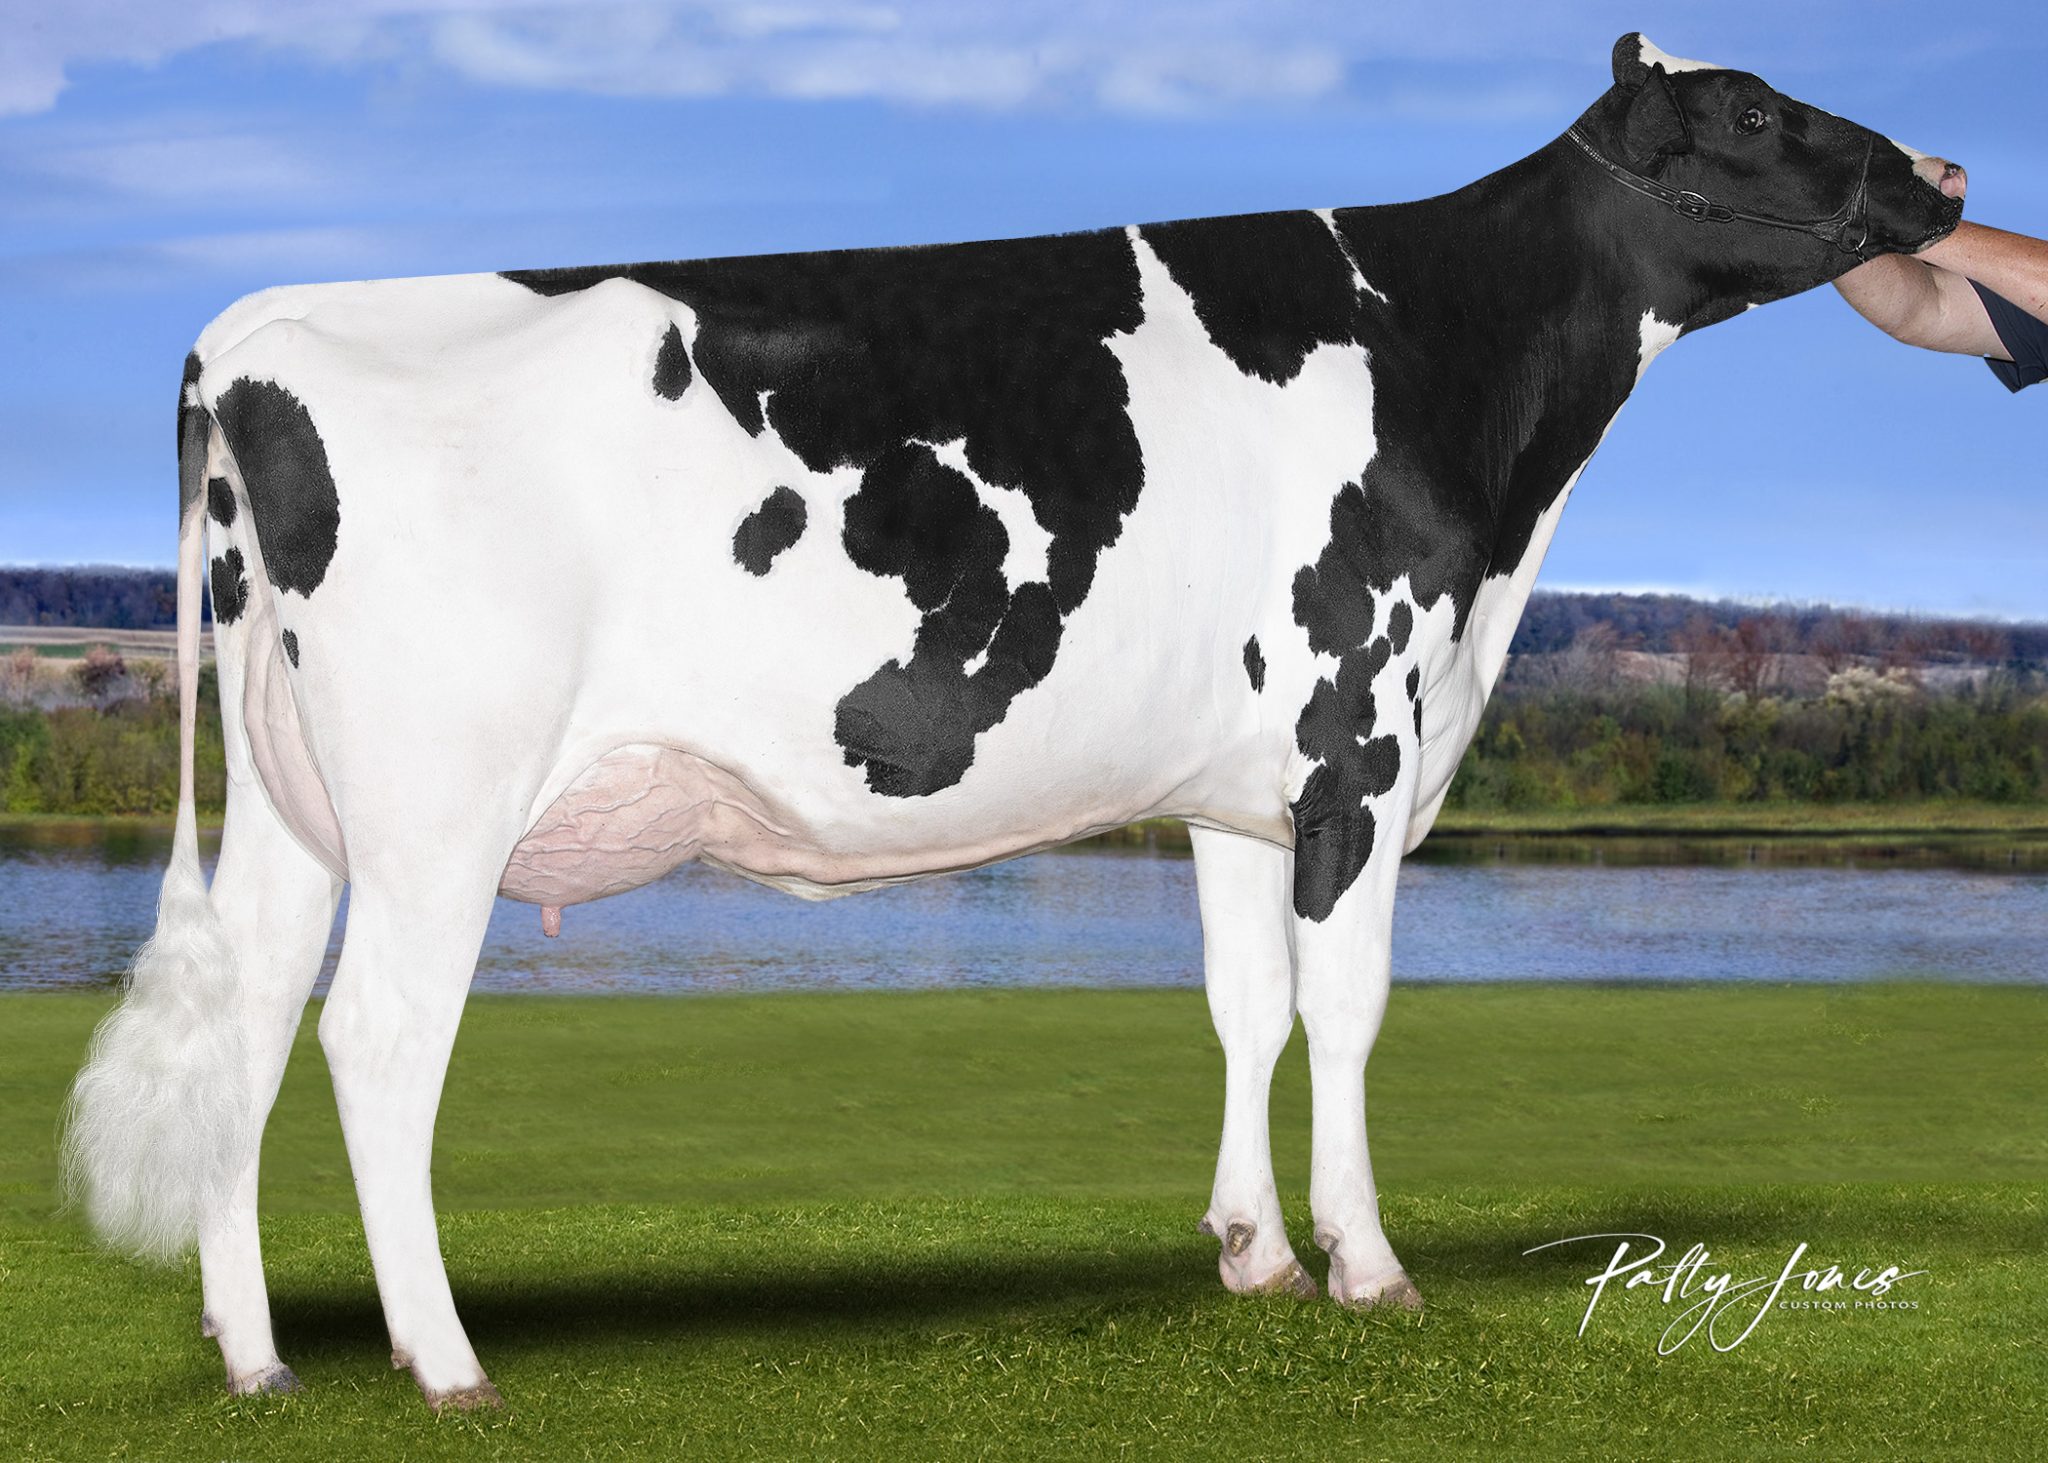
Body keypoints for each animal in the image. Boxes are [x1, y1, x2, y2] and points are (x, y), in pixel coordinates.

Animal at [64, 34, 1966, 1410]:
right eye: (1754, 108)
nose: (1942, 172)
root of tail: (256, 328)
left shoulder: (1238, 785)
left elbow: (1246, 1007)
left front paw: (1251, 1251)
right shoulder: (1356, 738)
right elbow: (1346, 1013)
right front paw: (1365, 1264)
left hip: (297, 811)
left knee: (247, 1028)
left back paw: (258, 1357)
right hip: (439, 805)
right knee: (376, 1043)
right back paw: (446, 1363)